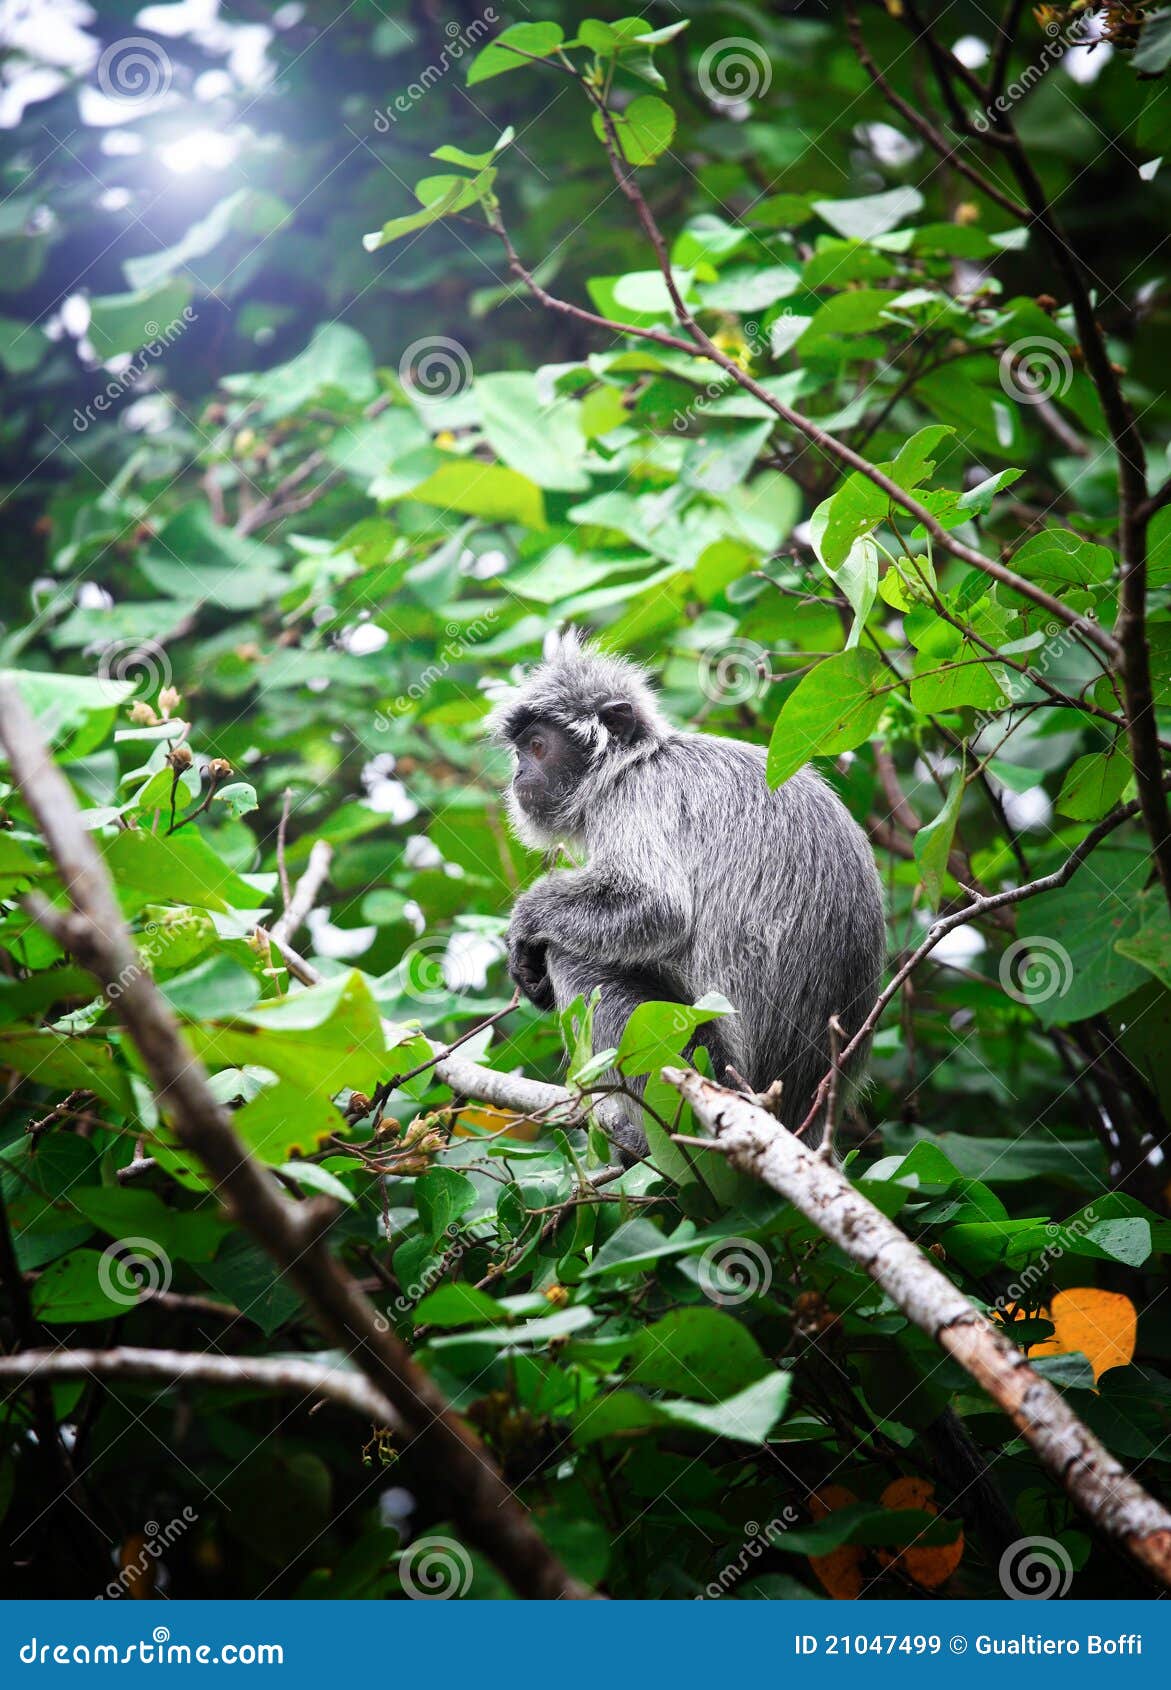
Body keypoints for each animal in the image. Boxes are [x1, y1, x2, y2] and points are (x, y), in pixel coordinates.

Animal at [487, 633, 885, 1161]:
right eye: (519, 752)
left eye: (537, 747)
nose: (518, 775)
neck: (633, 764)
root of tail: (800, 1110)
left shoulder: (638, 796)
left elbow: (656, 907)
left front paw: (527, 924)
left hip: (698, 1059)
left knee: (574, 958)